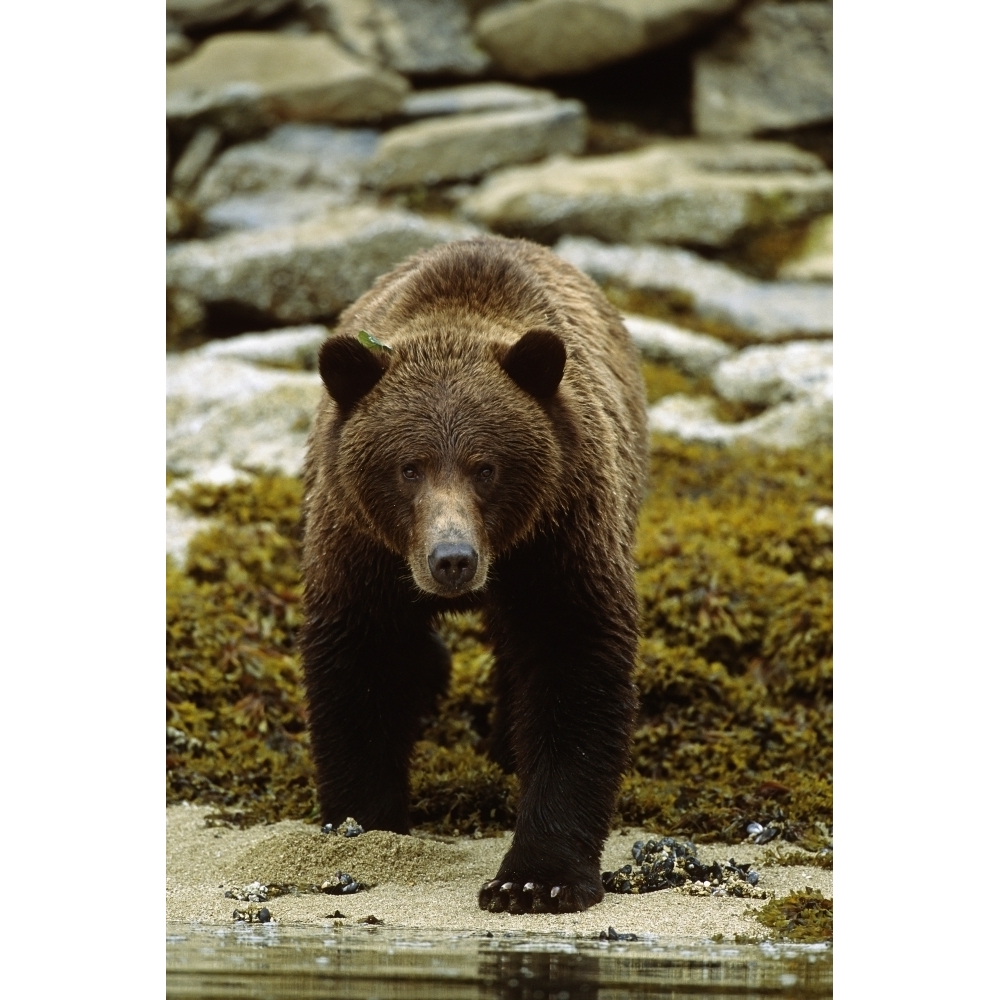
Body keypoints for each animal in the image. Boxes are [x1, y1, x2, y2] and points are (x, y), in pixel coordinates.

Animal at [300, 235, 648, 914]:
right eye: (408, 467)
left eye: (485, 467)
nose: (452, 559)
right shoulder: (360, 549)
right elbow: (362, 670)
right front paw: (361, 826)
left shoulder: (560, 540)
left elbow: (574, 669)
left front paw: (535, 879)